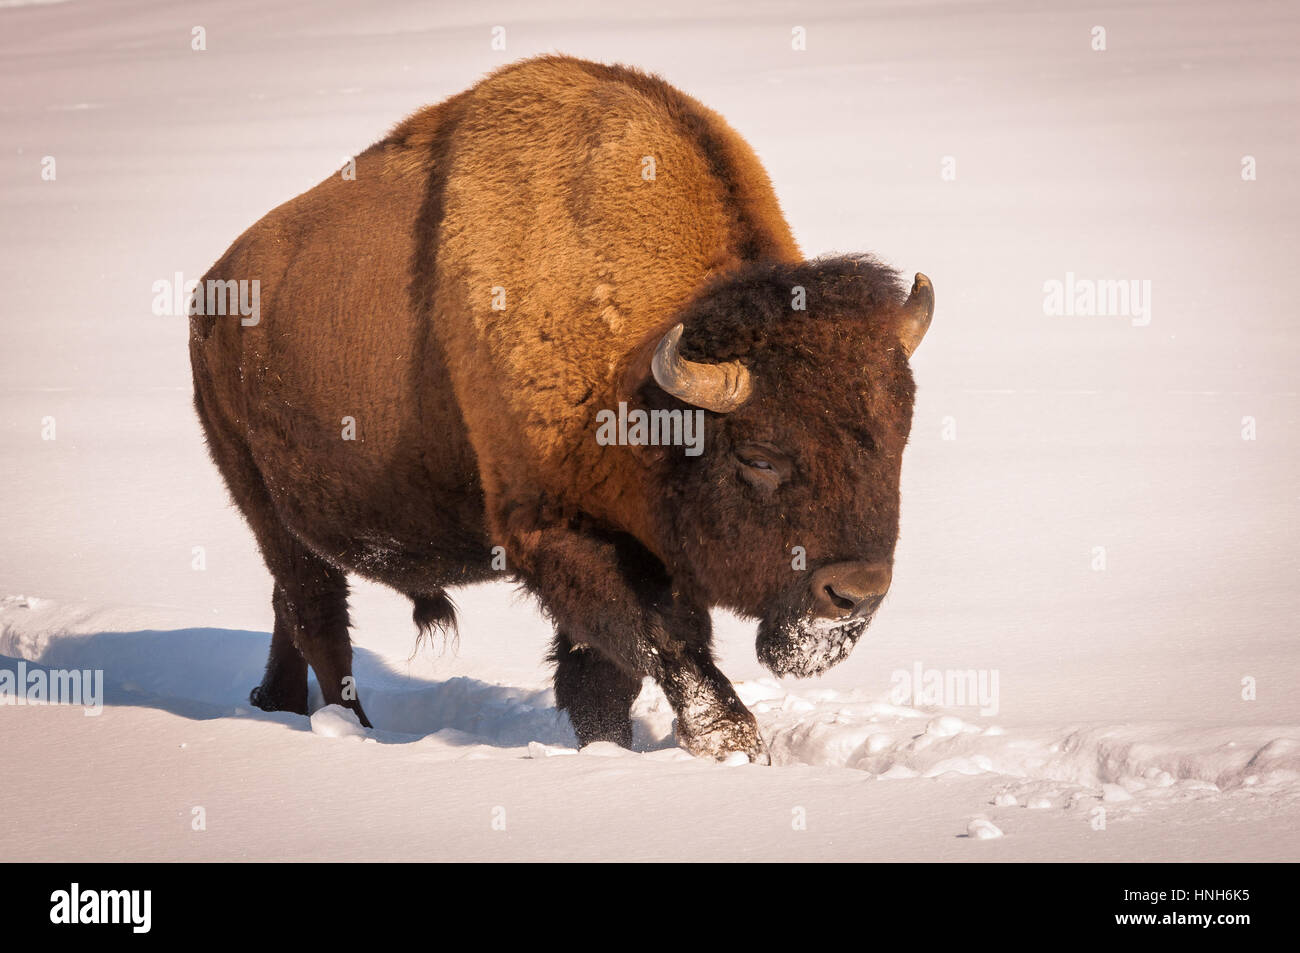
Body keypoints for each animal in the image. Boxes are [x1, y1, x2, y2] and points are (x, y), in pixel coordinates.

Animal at [189, 55, 933, 761]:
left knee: (292, 609)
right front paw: (733, 748)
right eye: (759, 456)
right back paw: (353, 731)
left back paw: (279, 705)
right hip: (263, 504)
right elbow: (664, 645)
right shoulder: (558, 531)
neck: (640, 378)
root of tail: (212, 289)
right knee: (318, 615)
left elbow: (605, 676)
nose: (856, 593)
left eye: (898, 439)